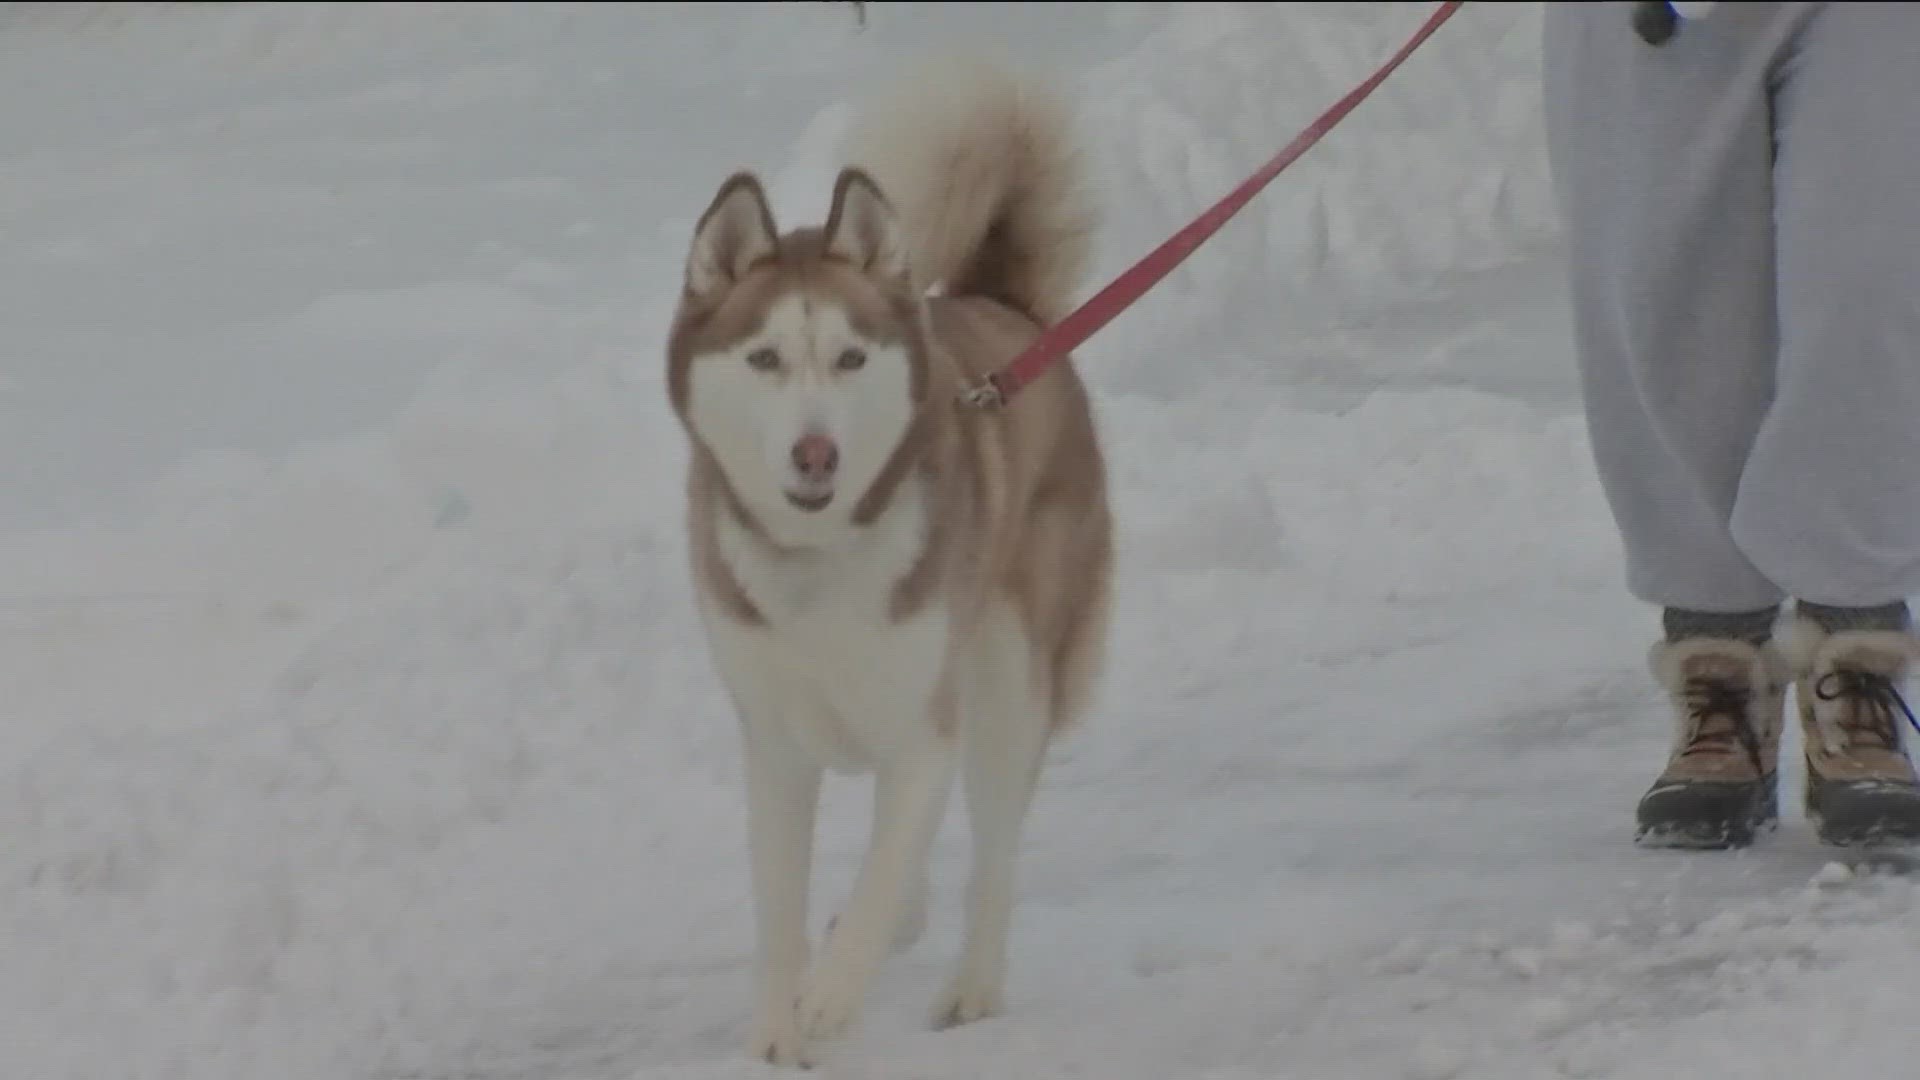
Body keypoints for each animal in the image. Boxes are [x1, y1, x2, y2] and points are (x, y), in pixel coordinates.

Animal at [664, 57, 1113, 1067]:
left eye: (849, 357)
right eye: (764, 359)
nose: (815, 454)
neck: (818, 567)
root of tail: (1006, 309)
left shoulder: (922, 725)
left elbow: (889, 861)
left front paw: (831, 997)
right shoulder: (775, 743)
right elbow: (782, 905)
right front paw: (776, 1026)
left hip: (1006, 679)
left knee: (991, 848)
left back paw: (973, 984)